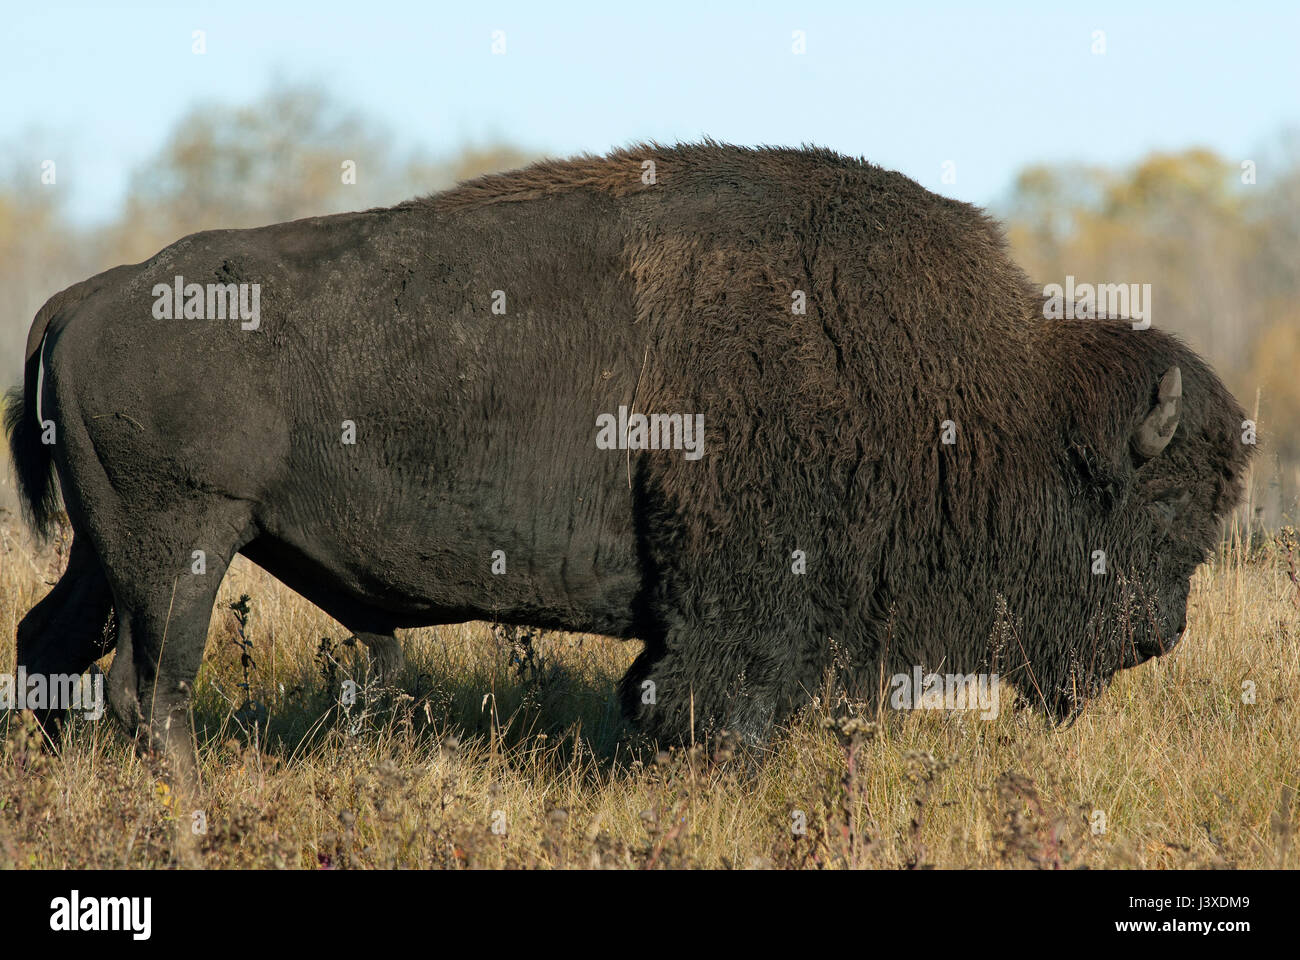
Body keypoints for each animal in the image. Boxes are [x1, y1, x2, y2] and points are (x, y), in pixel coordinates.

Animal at [5, 143, 1250, 790]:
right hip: (185, 542)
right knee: (150, 686)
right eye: (1154, 510)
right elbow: (712, 709)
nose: (1160, 634)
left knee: (59, 647)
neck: (976, 393)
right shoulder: (745, 603)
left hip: (110, 550)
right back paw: (195, 808)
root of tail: (94, 293)